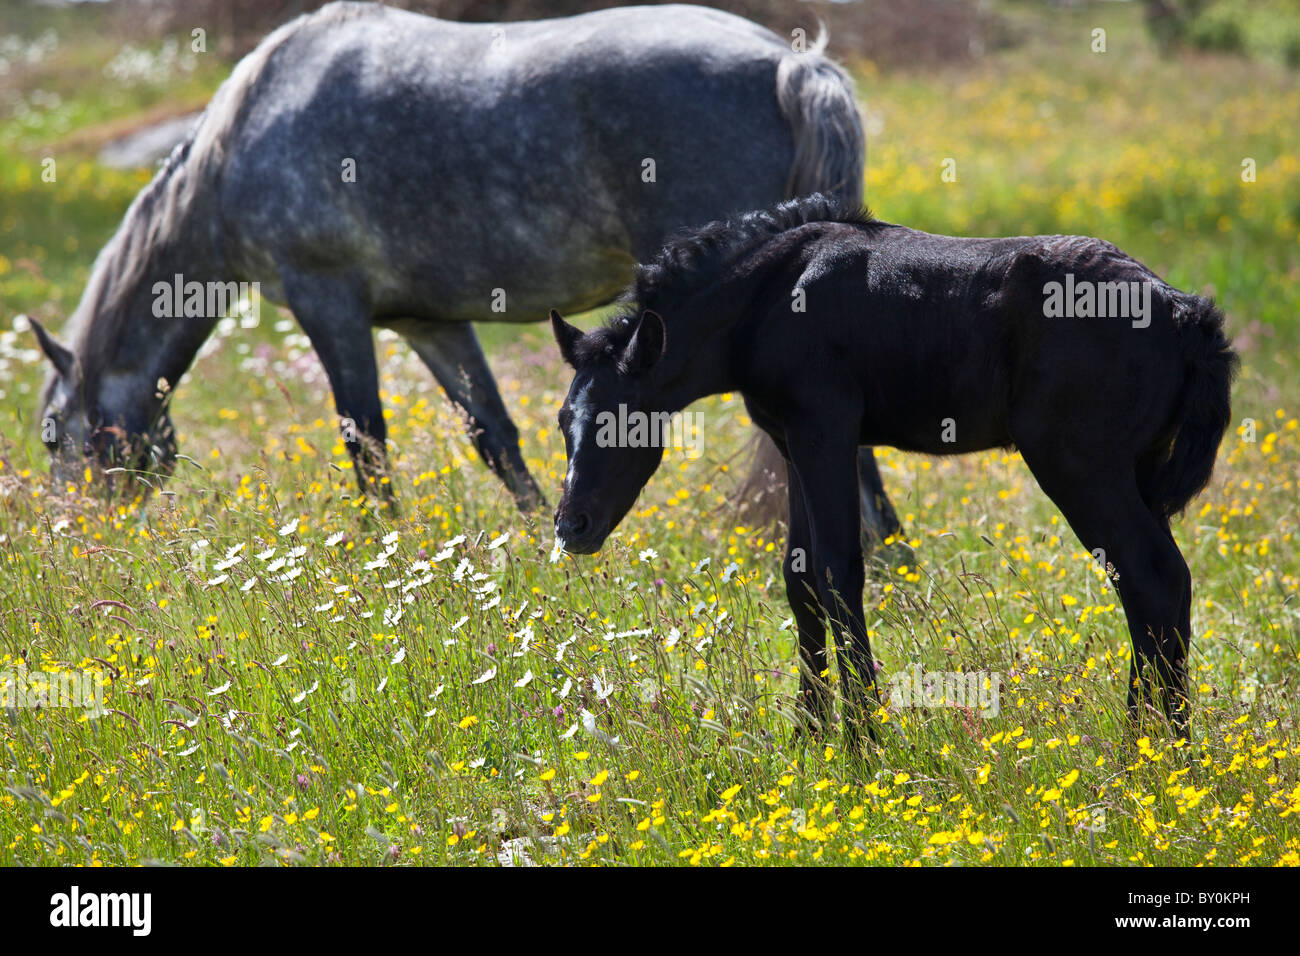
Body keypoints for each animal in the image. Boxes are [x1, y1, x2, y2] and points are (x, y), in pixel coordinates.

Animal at [27, 0, 900, 538]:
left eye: (52, 437)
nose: (78, 542)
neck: (240, 142)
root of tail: (794, 70)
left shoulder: (327, 304)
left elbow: (366, 440)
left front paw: (383, 549)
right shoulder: (430, 324)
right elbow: (495, 437)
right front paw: (543, 539)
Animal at [550, 195, 1237, 746]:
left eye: (625, 420)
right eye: (563, 421)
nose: (570, 526)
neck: (770, 294)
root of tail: (1185, 313)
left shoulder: (825, 431)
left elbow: (838, 572)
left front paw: (863, 739)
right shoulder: (793, 442)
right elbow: (800, 577)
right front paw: (808, 737)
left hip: (1080, 467)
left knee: (1149, 578)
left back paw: (1147, 751)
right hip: (1134, 471)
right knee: (1159, 587)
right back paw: (1158, 747)